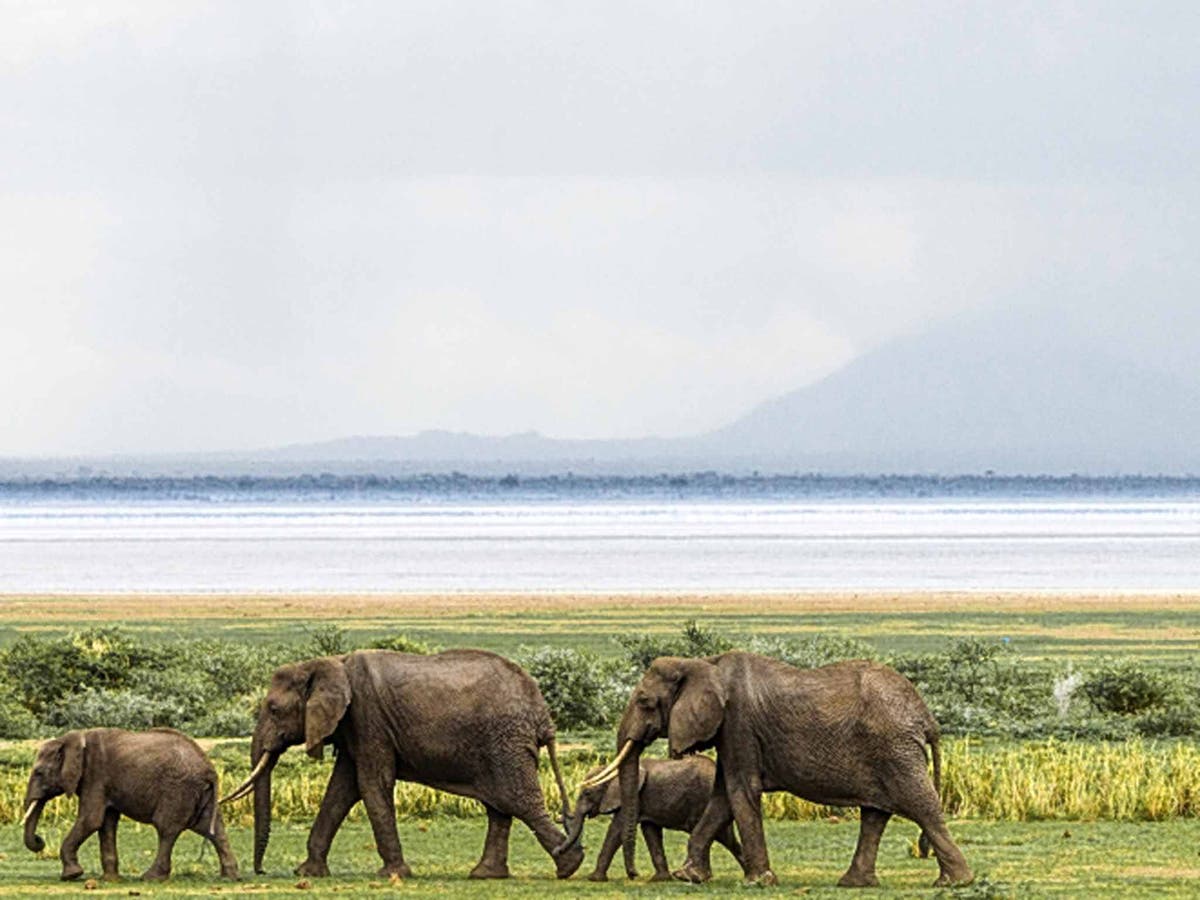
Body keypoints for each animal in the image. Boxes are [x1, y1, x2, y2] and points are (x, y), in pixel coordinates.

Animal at [22, 727, 238, 882]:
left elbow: (91, 819)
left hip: (178, 791)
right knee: (212, 829)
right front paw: (110, 880)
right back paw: (229, 877)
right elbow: (106, 823)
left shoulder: (95, 776)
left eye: (39, 773)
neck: (72, 738)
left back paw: (150, 878)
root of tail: (210, 769)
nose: (40, 840)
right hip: (199, 793)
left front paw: (71, 875)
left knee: (166, 829)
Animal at [221, 648, 585, 880]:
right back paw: (485, 875)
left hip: (505, 741)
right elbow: (342, 790)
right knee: (500, 807)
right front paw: (308, 873)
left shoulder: (369, 718)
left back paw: (569, 865)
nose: (260, 871)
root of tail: (542, 713)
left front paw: (392, 874)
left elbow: (370, 784)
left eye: (273, 709)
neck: (332, 663)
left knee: (517, 800)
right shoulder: (353, 725)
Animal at [561, 754, 743, 882]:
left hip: (703, 798)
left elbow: (617, 829)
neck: (613, 769)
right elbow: (650, 831)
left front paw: (594, 879)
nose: (633, 874)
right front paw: (660, 879)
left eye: (587, 793)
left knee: (716, 834)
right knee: (727, 838)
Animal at [610, 653, 973, 888]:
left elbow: (741, 791)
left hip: (895, 749)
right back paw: (855, 884)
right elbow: (722, 797)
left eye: (644, 701)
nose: (633, 875)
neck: (703, 663)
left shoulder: (738, 723)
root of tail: (926, 716)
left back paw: (954, 884)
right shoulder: (730, 732)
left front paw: (758, 883)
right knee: (875, 813)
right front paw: (689, 877)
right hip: (887, 751)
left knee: (920, 805)